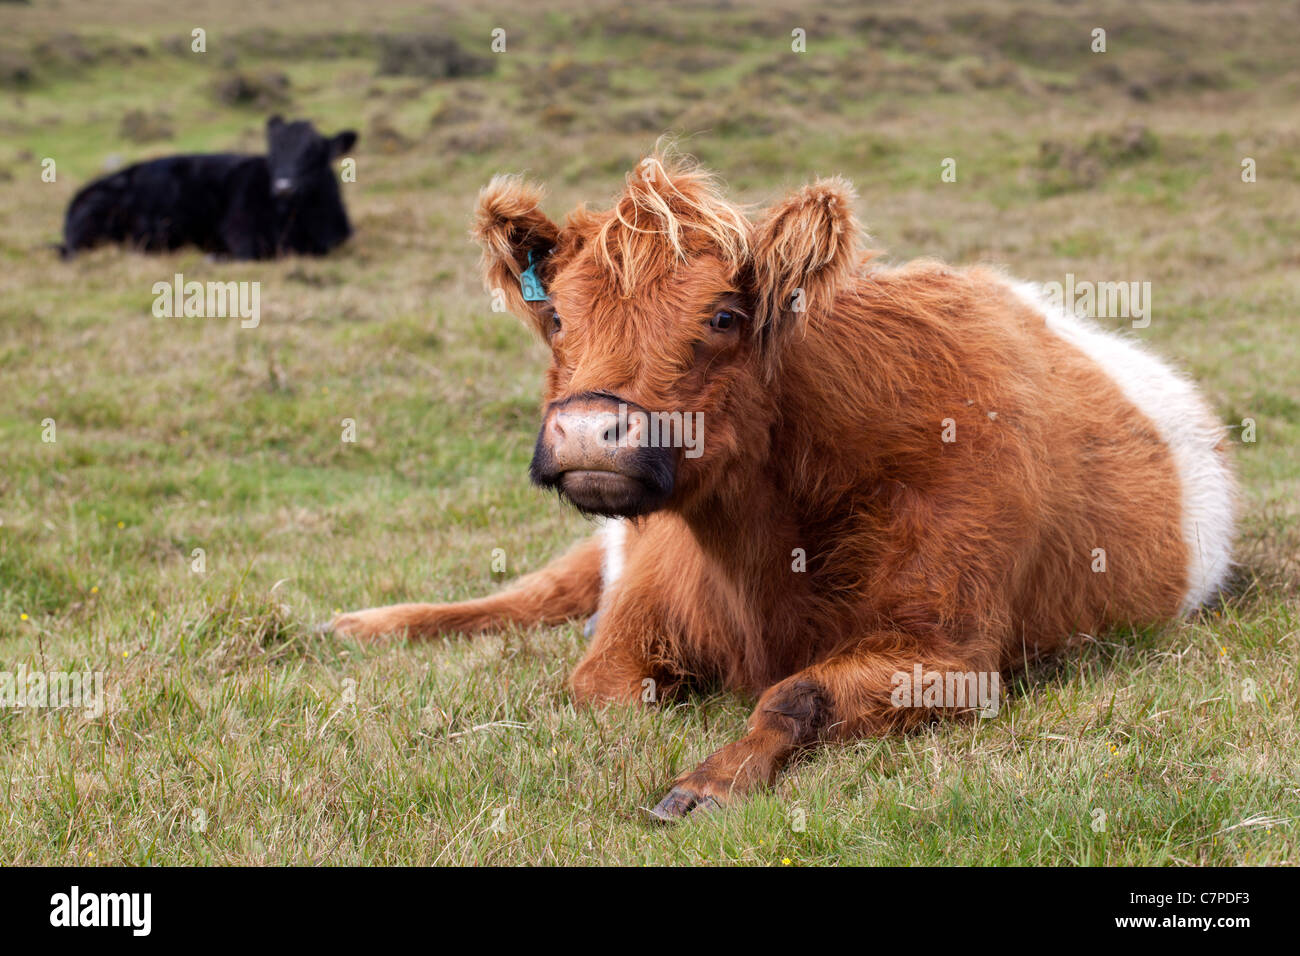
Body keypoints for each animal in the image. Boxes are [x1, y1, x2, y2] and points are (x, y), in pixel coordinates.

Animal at [330, 152, 1237, 820]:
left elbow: (797, 696)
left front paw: (706, 783)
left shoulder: (951, 653)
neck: (760, 550)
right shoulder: (634, 617)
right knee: (524, 595)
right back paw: (366, 623)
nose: (588, 432)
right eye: (555, 316)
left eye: (724, 316)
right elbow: (605, 692)